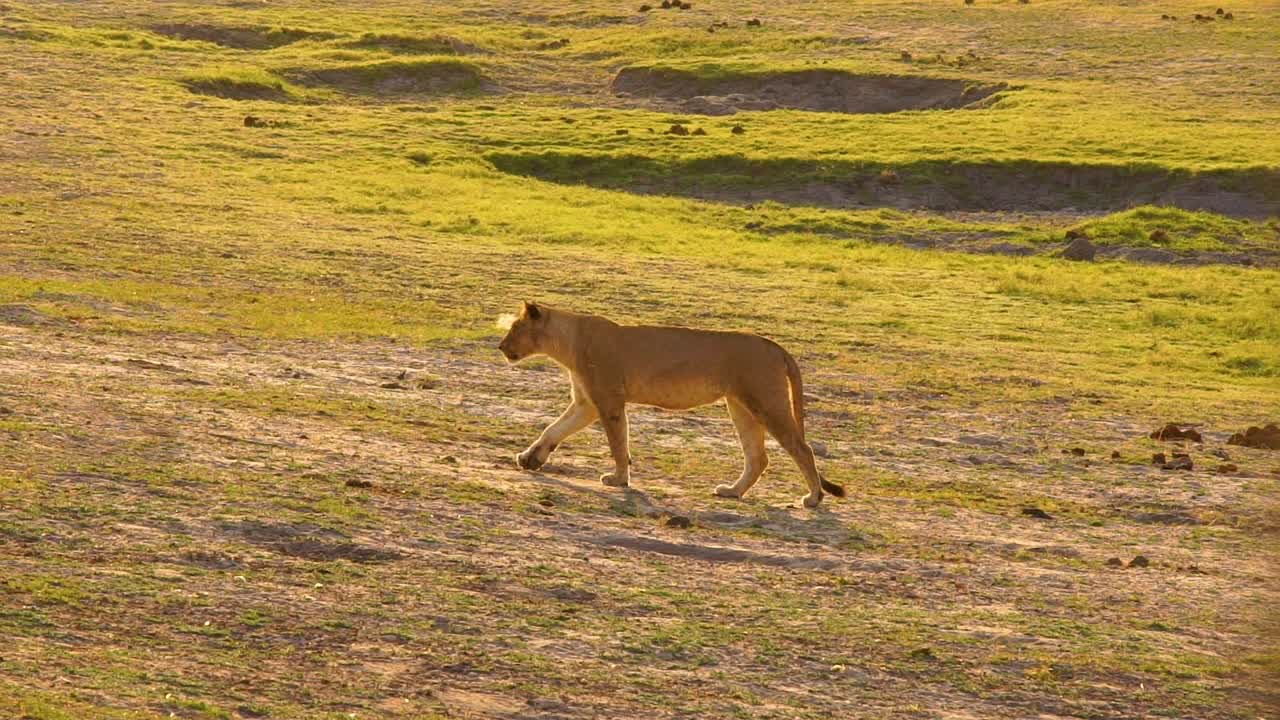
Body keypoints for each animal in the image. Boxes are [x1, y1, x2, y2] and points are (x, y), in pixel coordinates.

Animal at [497, 302, 845, 507]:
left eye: (515, 328)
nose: (499, 346)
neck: (568, 342)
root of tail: (776, 347)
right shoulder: (586, 403)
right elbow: (553, 429)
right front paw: (530, 458)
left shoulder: (608, 400)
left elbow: (617, 443)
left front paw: (618, 480)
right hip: (741, 406)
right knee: (758, 457)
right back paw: (732, 491)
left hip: (767, 402)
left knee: (802, 448)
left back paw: (813, 497)